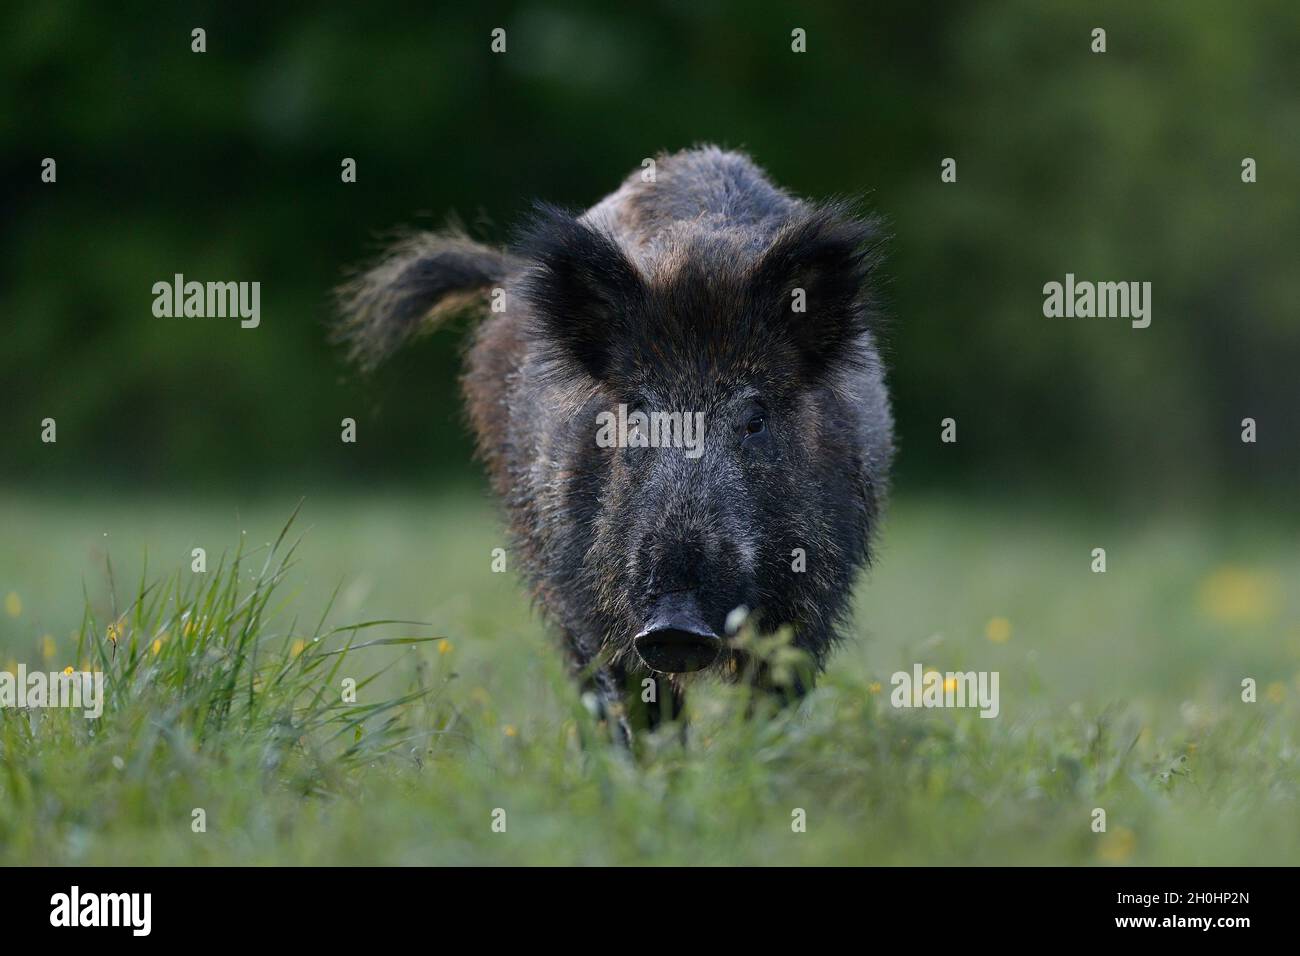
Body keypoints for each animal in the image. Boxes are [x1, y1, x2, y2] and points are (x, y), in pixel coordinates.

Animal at [336, 146, 893, 742]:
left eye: (755, 419)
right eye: (637, 413)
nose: (676, 623)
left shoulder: (817, 590)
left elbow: (771, 697)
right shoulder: (586, 589)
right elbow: (640, 701)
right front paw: (663, 769)